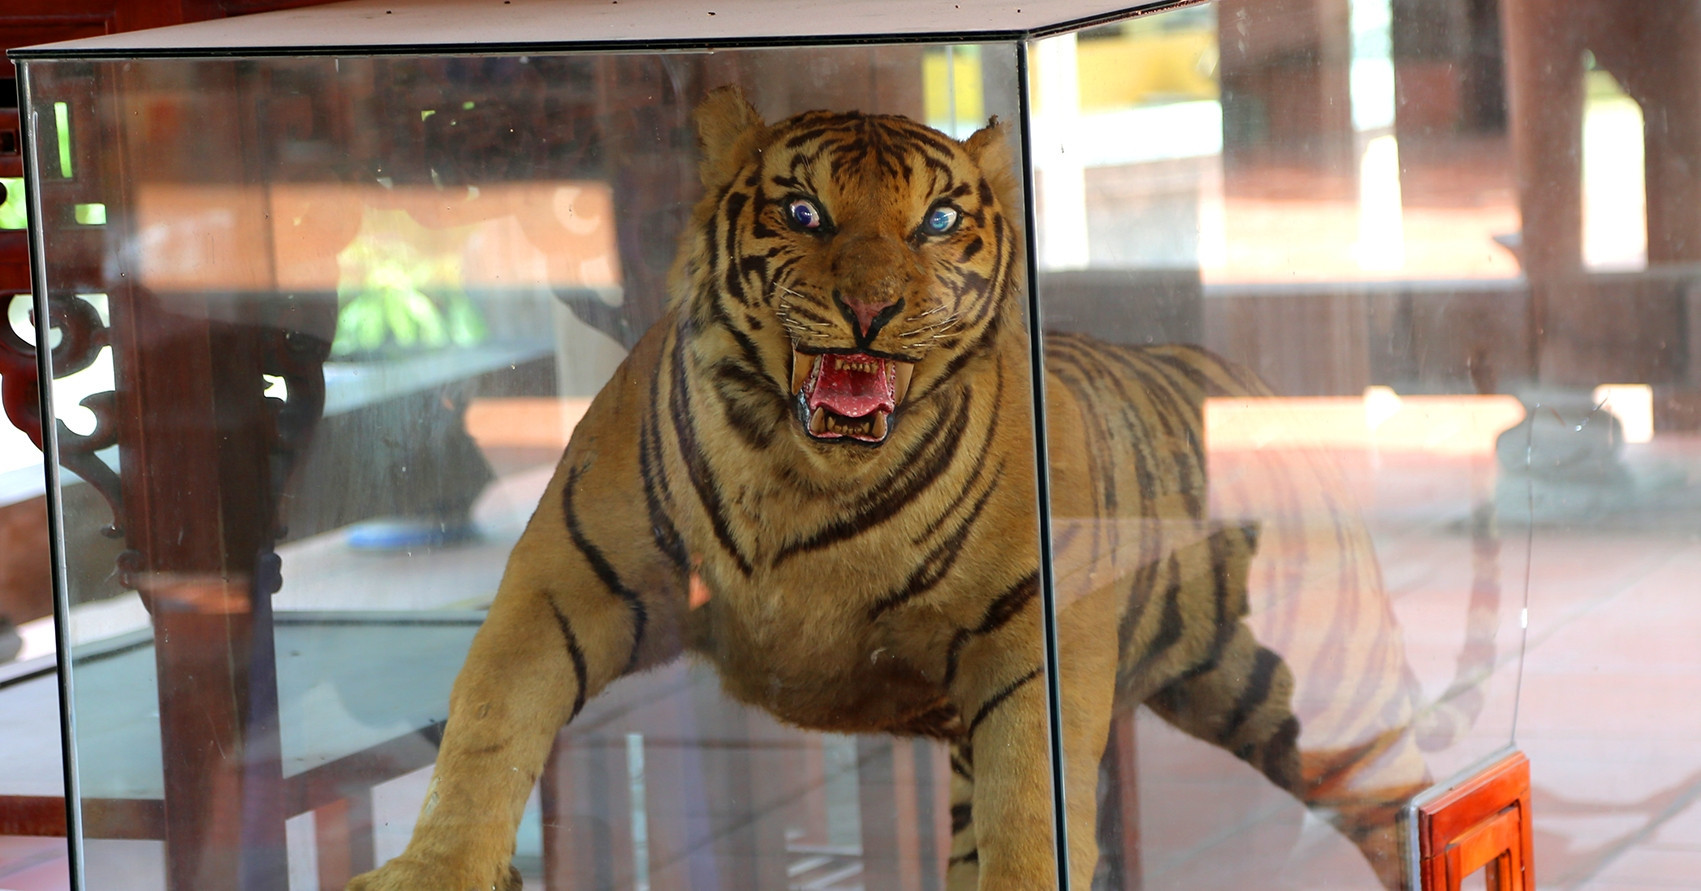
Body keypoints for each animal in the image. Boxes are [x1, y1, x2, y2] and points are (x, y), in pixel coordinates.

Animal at [348, 86, 1493, 891]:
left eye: (938, 221)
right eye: (802, 211)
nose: (872, 306)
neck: (798, 471)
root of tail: (1231, 371)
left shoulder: (1032, 641)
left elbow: (1035, 805)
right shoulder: (564, 579)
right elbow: (487, 728)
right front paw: (431, 872)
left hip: (1312, 690)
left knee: (1399, 797)